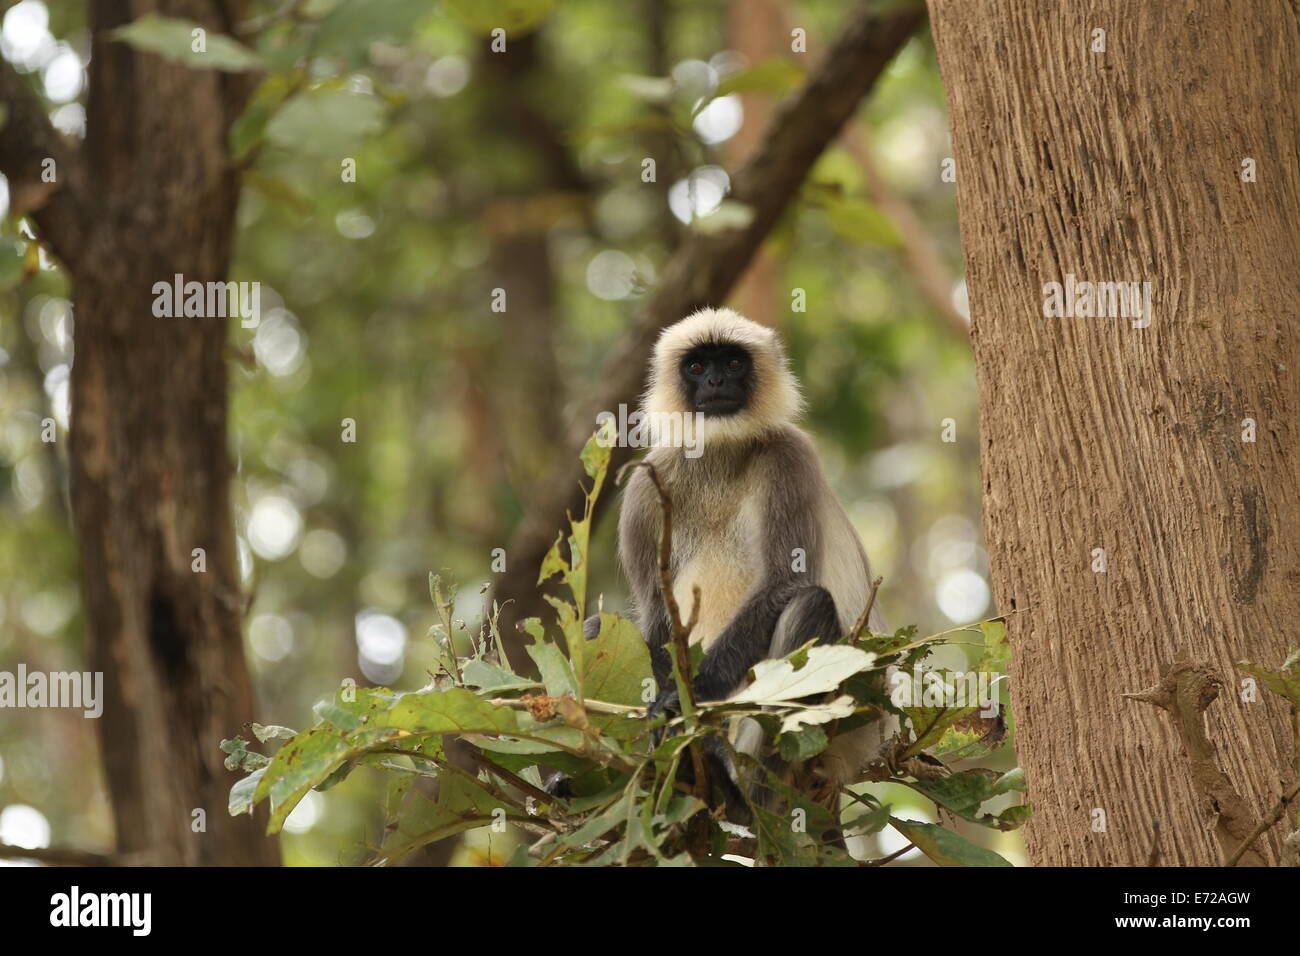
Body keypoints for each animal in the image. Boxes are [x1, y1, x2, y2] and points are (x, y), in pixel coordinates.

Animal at [610, 307, 891, 821]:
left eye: (733, 363)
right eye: (697, 366)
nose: (716, 380)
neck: (720, 451)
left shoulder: (789, 456)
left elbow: (786, 580)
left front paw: (684, 703)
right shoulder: (645, 486)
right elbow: (656, 616)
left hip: (852, 720)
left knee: (810, 605)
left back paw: (743, 794)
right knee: (598, 626)